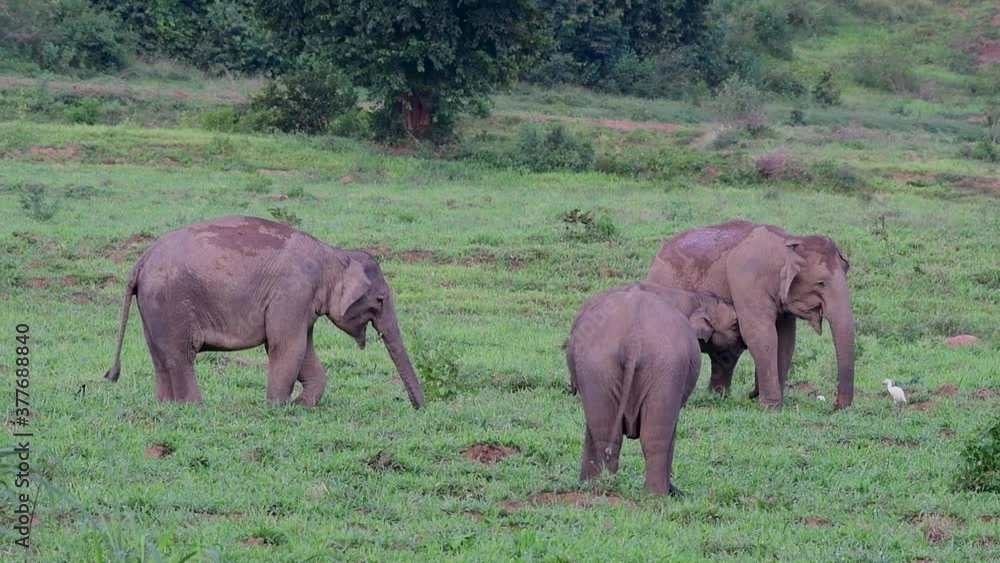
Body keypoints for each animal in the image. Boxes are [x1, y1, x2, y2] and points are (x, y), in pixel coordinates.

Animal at [103, 216, 425, 408]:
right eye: (380, 300)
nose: (420, 407)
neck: (334, 255)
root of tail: (142, 260)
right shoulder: (293, 292)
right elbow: (286, 346)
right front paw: (278, 407)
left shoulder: (302, 302)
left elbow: (303, 349)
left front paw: (301, 405)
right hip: (172, 302)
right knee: (179, 355)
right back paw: (194, 407)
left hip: (152, 305)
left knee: (159, 356)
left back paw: (165, 405)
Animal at [566, 283, 743, 495]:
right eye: (735, 324)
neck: (697, 299)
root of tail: (632, 340)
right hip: (664, 367)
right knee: (657, 436)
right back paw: (658, 495)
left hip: (601, 366)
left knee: (608, 433)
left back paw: (602, 486)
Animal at [646, 220, 855, 410]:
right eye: (821, 283)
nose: (836, 405)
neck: (788, 242)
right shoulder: (747, 281)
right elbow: (761, 334)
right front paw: (770, 408)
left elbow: (786, 340)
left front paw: (775, 403)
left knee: (724, 354)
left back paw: (718, 397)